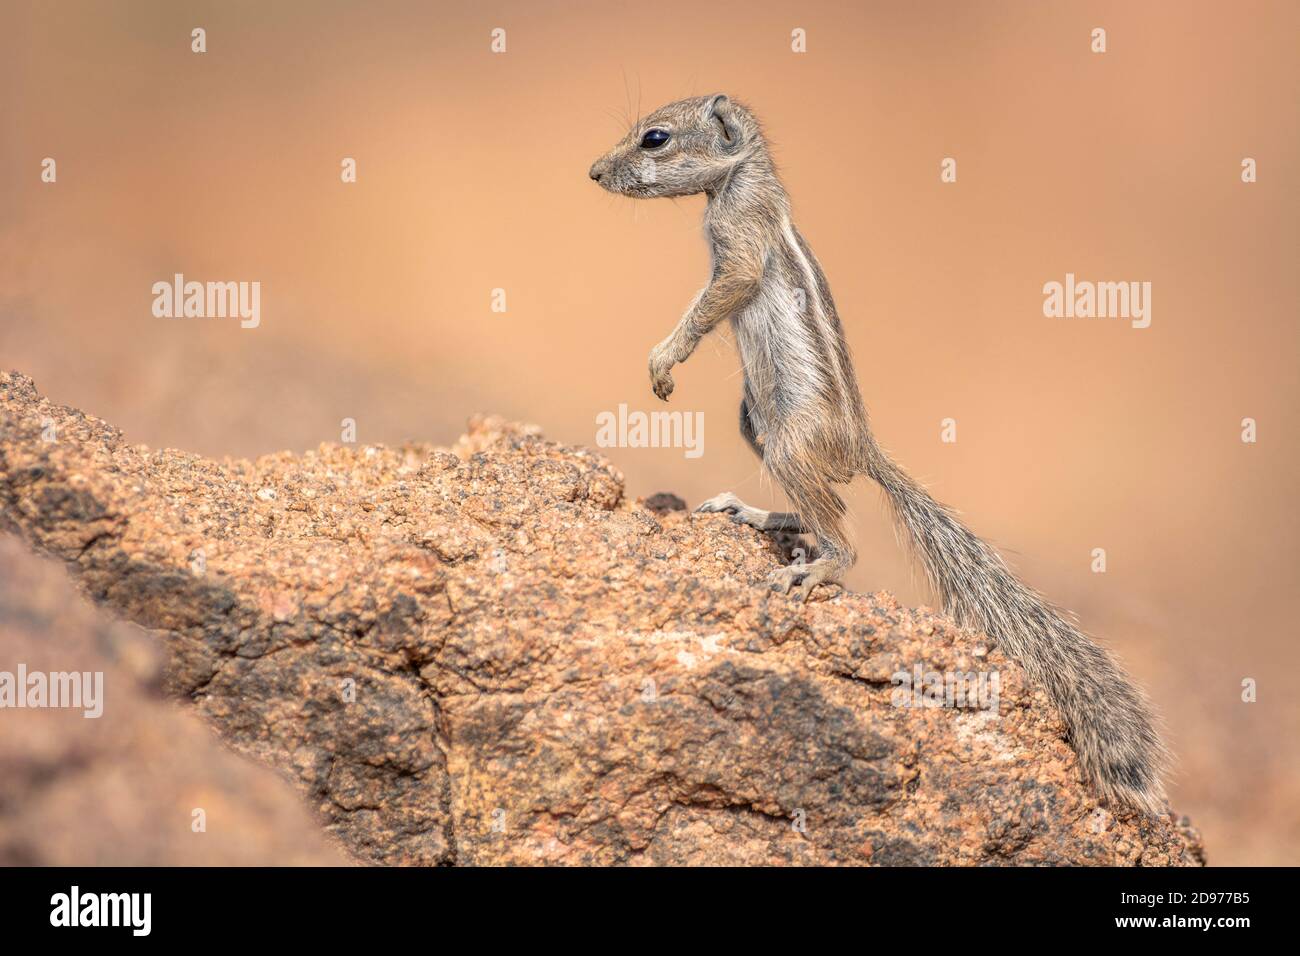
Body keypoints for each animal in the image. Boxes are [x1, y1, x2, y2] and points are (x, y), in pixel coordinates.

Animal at [589, 94, 1168, 813]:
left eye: (655, 138)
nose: (593, 172)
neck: (741, 176)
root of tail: (862, 448)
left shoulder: (739, 246)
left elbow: (715, 299)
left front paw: (663, 359)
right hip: (757, 421)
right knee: (819, 504)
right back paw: (757, 516)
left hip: (788, 440)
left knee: (841, 532)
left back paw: (812, 570)